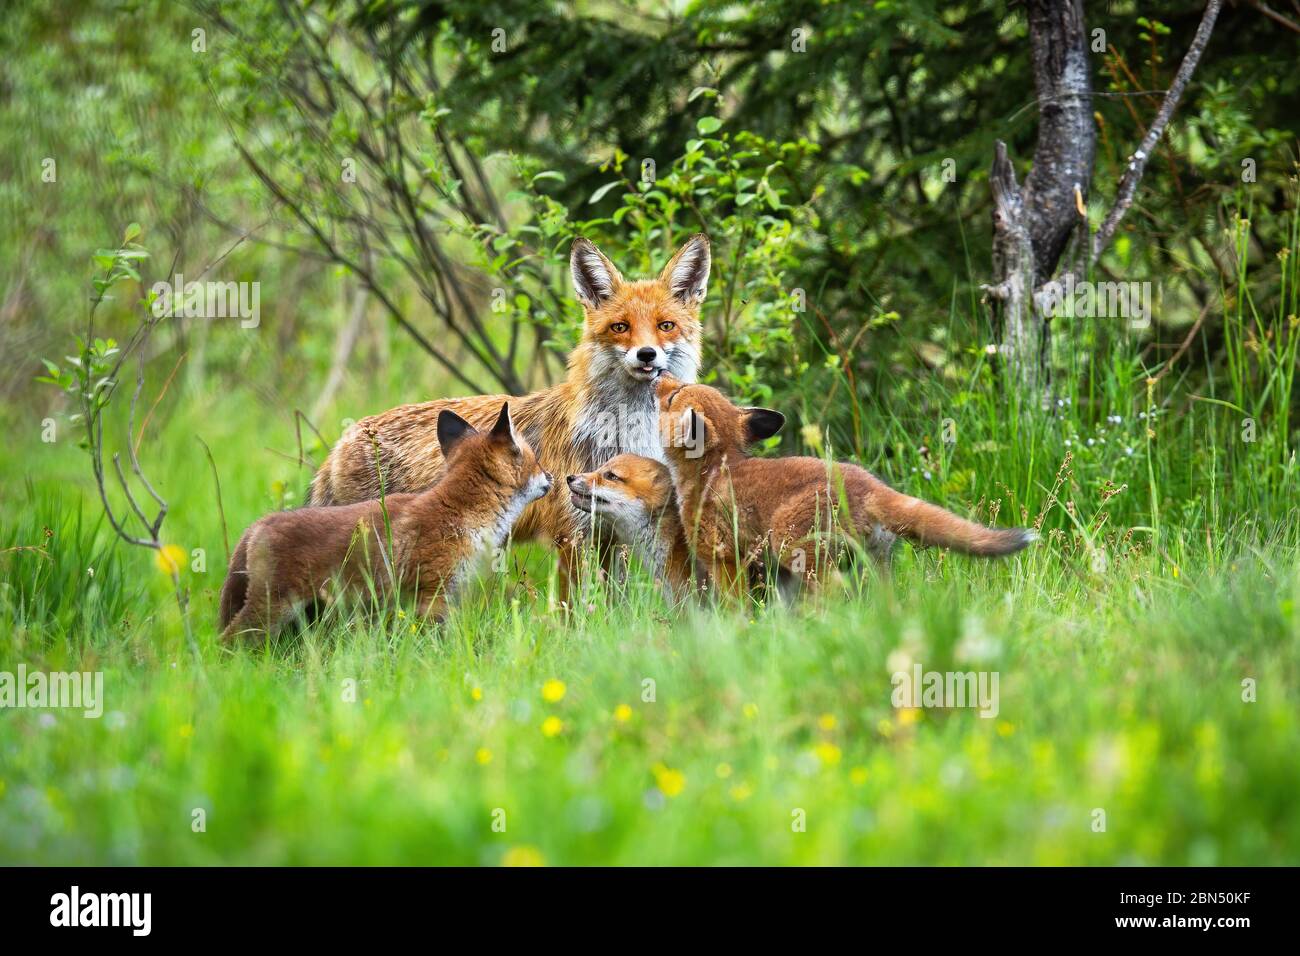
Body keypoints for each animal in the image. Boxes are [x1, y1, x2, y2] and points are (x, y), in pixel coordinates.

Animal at [219, 403, 552, 639]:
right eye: (536, 461)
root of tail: (258, 524)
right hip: (273, 608)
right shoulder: (432, 594)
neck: (460, 511)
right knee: (229, 639)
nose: (552, 477)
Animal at [654, 377, 1036, 597]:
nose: (659, 372)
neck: (713, 471)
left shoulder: (724, 559)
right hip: (872, 566)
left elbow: (735, 610)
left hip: (799, 554)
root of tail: (870, 485)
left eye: (673, 396)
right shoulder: (765, 571)